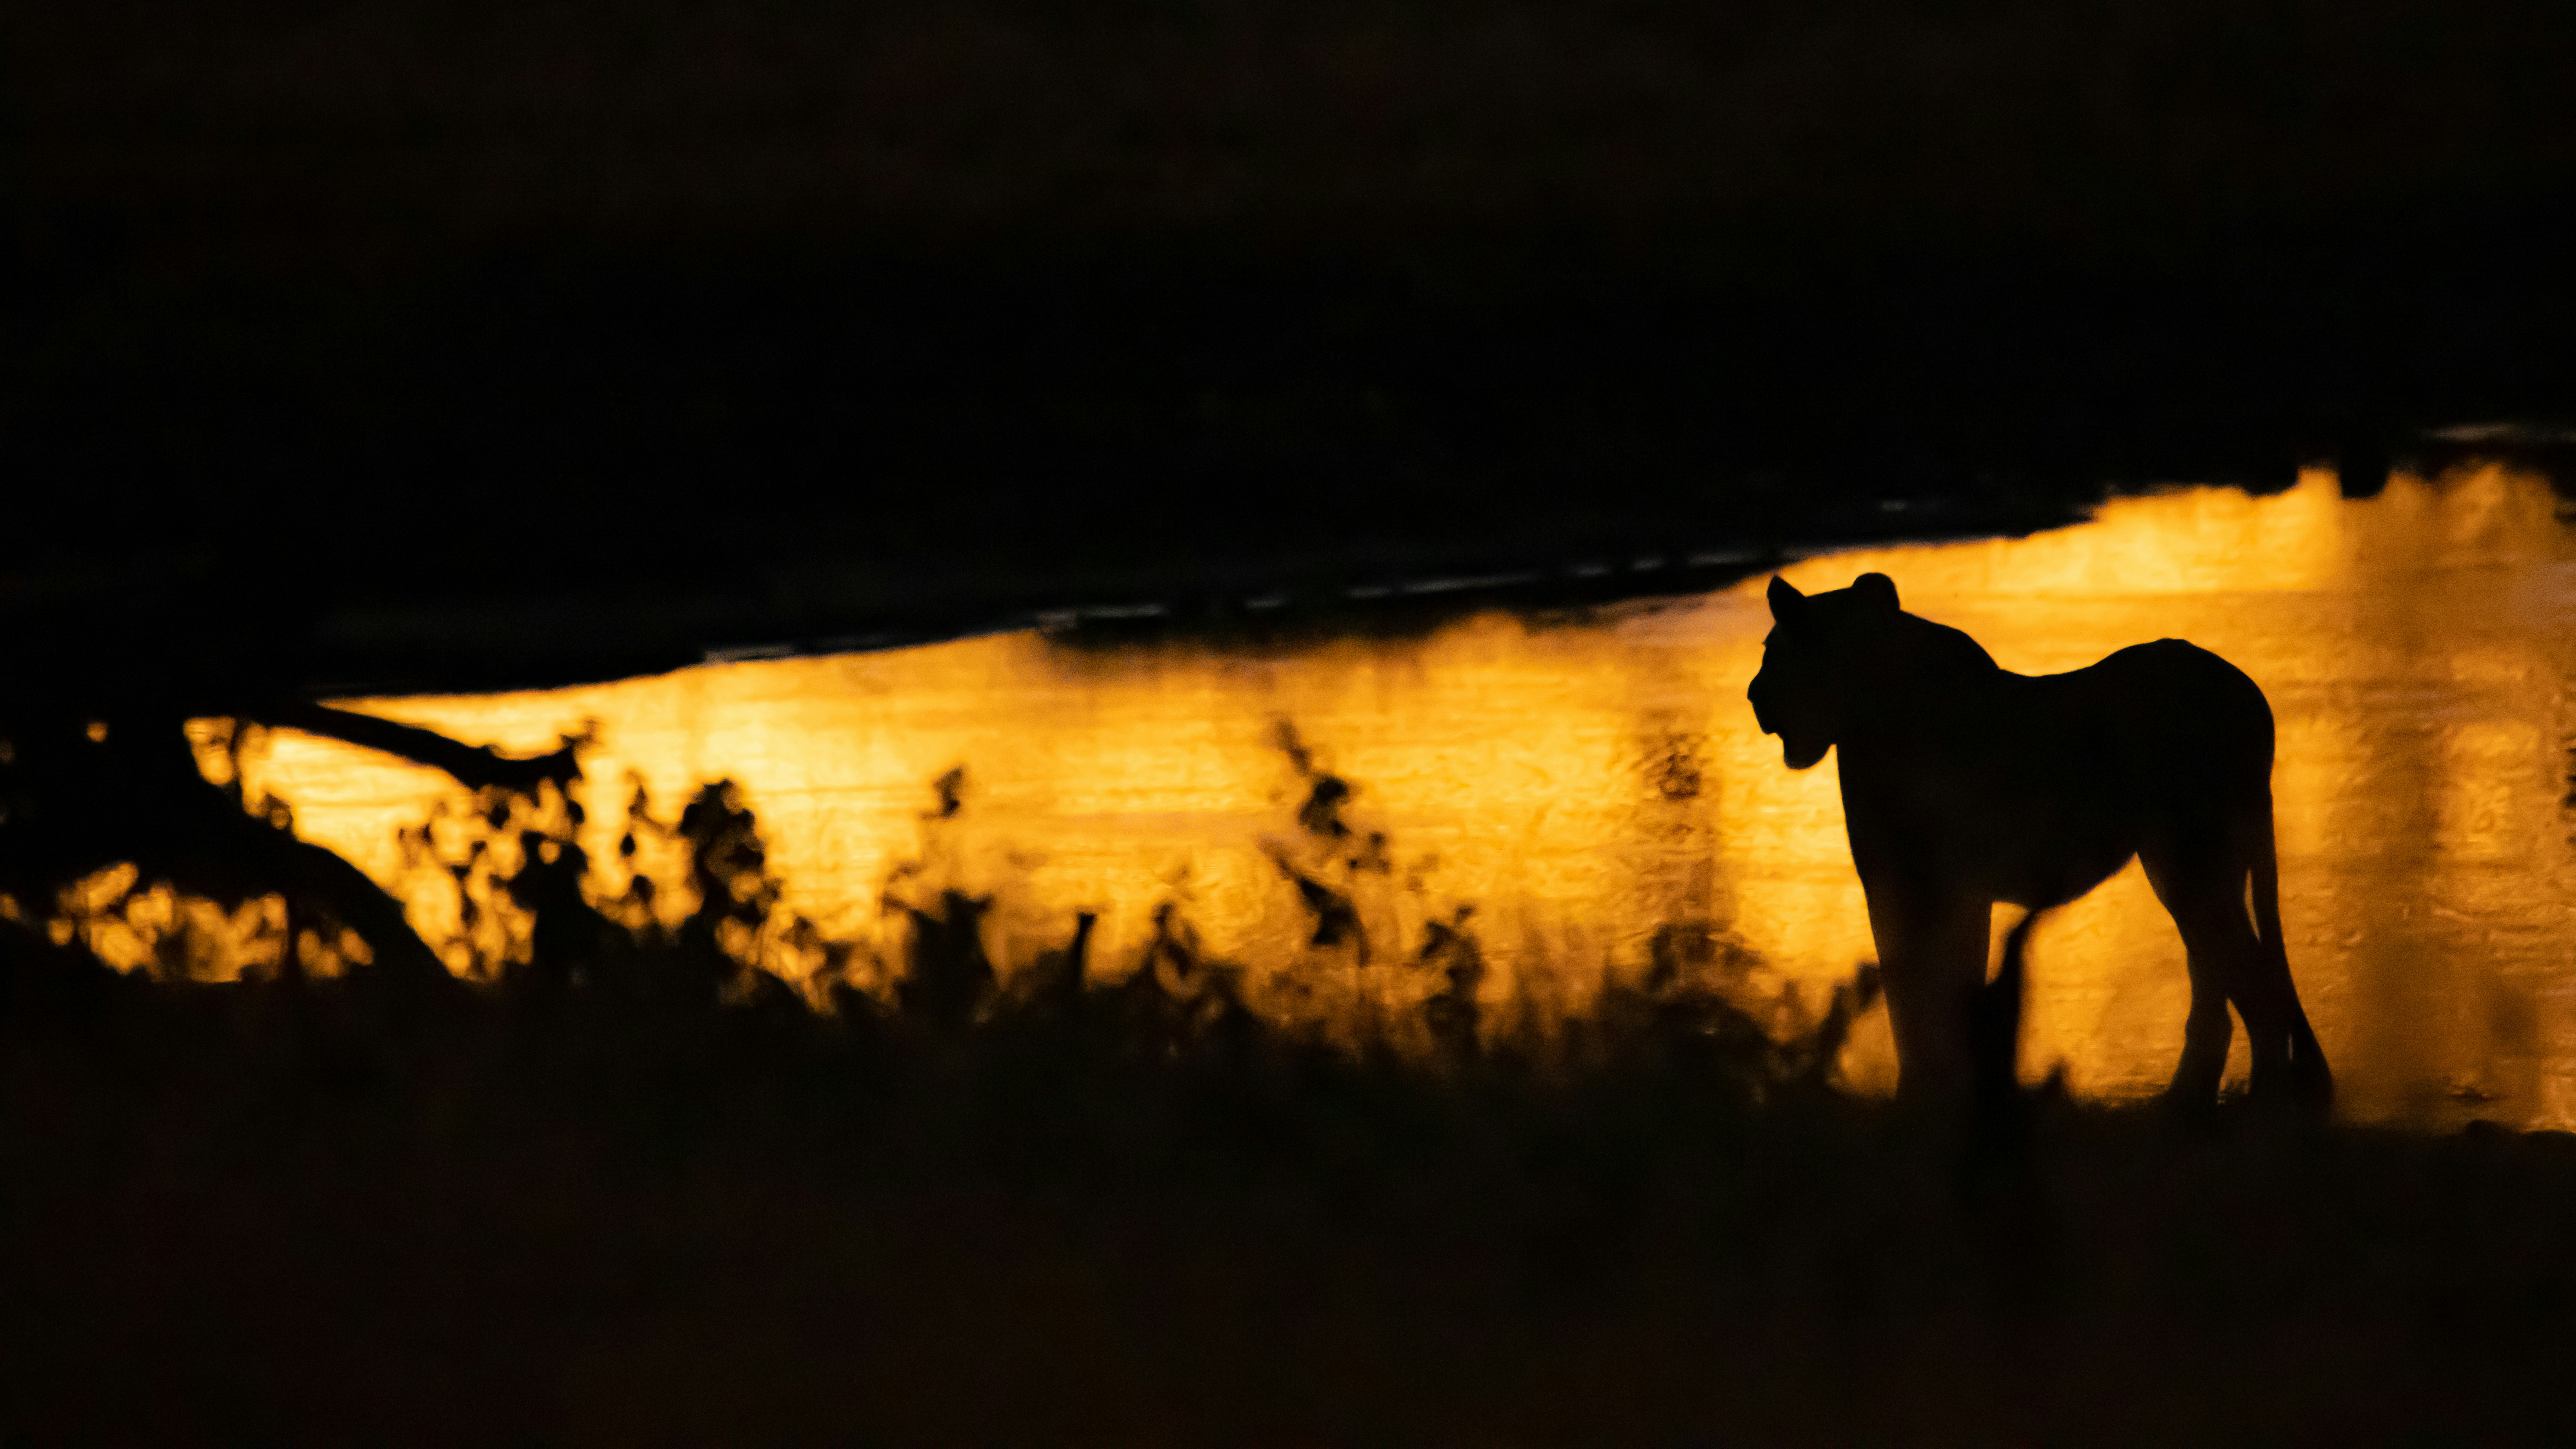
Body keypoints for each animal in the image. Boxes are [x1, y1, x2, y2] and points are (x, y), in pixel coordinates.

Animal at [1747, 572, 2332, 1115]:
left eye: (1773, 653)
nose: (1754, 695)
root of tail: (2252, 698)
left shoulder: (1906, 886)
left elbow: (1912, 995)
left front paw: (1918, 1099)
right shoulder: (1952, 891)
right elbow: (1944, 988)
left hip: (2190, 861)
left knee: (2256, 988)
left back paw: (2261, 1113)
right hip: (2200, 867)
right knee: (2220, 982)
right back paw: (2186, 1106)